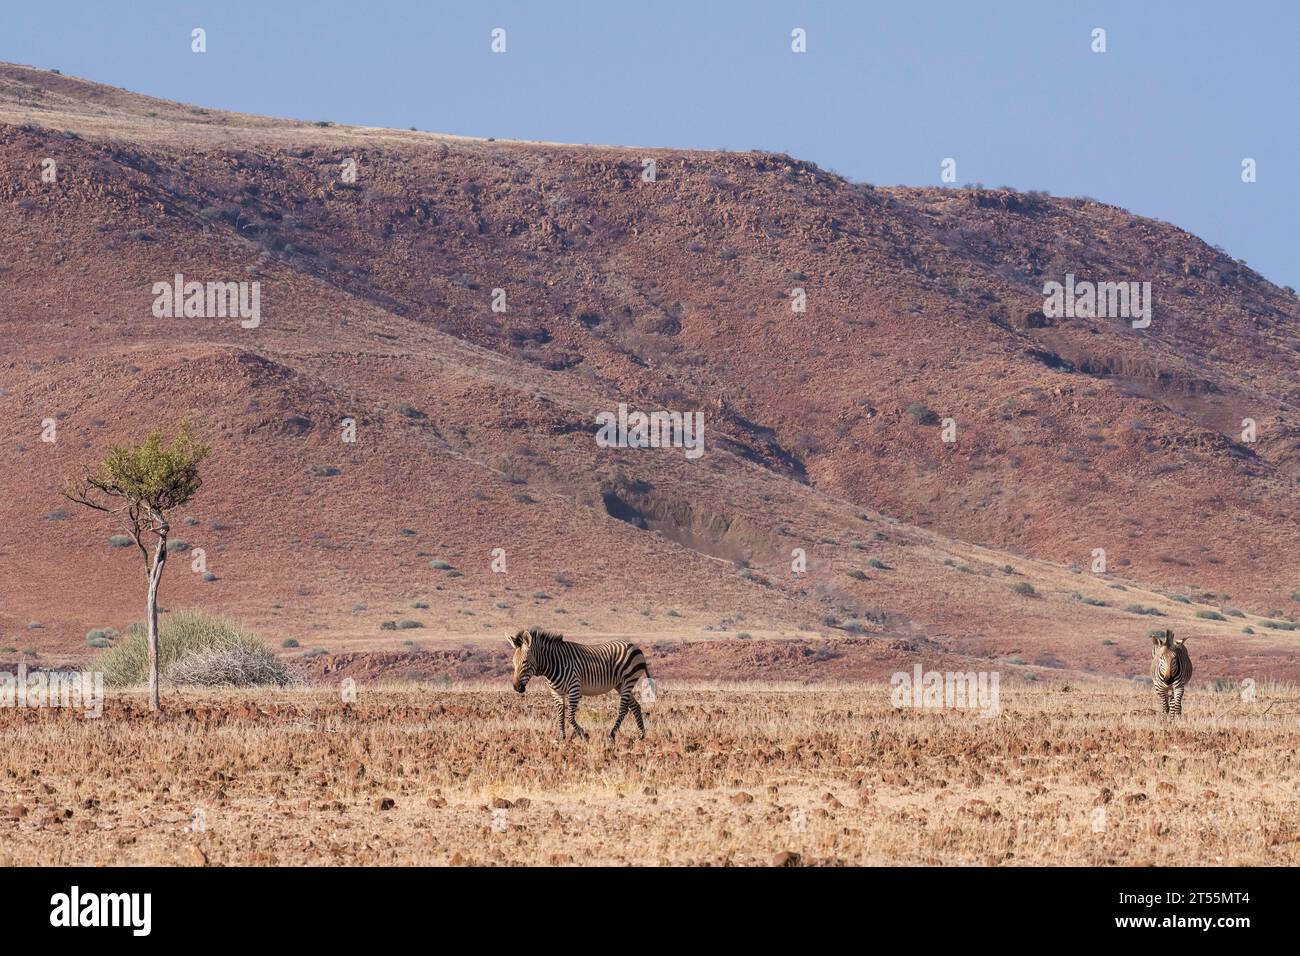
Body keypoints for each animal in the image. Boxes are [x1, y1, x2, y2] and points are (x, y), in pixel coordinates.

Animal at [508, 626, 652, 741]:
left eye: (525, 662)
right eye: (513, 662)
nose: (516, 687)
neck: (554, 664)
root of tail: (634, 646)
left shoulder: (574, 689)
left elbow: (570, 717)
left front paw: (584, 735)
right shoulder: (556, 692)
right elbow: (561, 714)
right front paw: (561, 737)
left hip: (628, 680)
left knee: (623, 709)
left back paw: (611, 735)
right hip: (620, 685)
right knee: (635, 706)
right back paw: (641, 735)